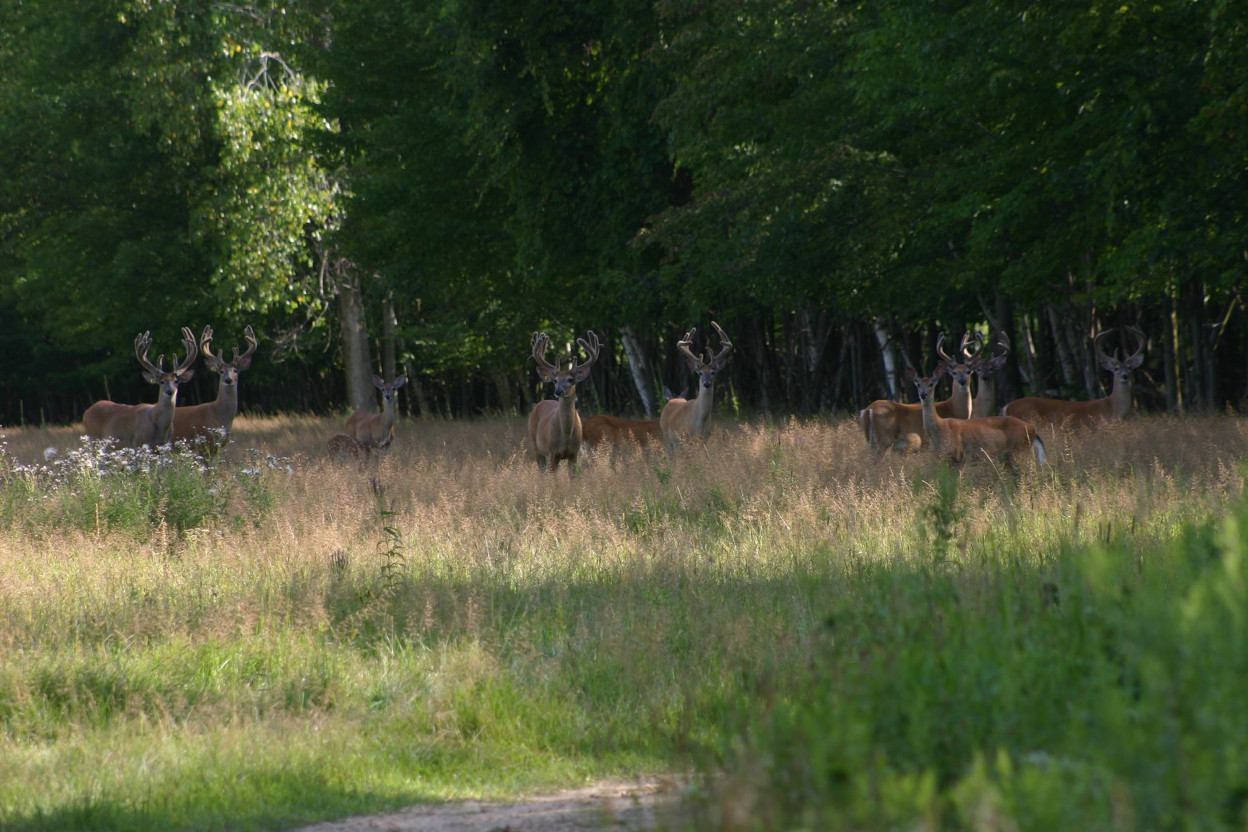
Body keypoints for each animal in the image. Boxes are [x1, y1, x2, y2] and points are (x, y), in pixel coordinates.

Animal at [528, 330, 600, 472]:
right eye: (555, 380)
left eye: (570, 379)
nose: (558, 391)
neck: (566, 435)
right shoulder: (552, 452)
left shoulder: (574, 454)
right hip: (535, 445)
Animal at [659, 322, 733, 452]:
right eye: (700, 373)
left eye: (713, 373)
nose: (707, 384)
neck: (699, 421)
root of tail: (672, 400)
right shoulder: (686, 437)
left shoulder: (705, 438)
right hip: (667, 438)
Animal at [911, 362, 1046, 470]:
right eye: (917, 384)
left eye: (931, 384)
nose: (923, 394)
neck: (938, 428)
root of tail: (1032, 429)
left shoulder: (958, 456)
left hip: (1020, 449)